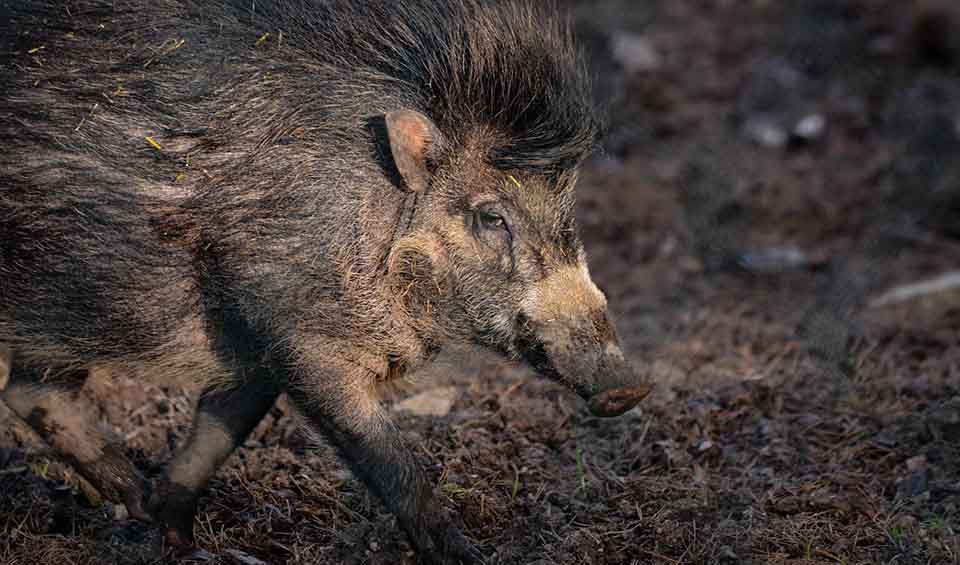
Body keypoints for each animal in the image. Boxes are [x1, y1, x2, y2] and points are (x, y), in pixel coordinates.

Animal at [0, 1, 650, 562]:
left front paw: (174, 533)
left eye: (568, 212)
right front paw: (467, 555)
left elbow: (220, 432)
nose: (631, 387)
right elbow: (393, 463)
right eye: (491, 217)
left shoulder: (254, 344)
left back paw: (130, 497)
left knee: (29, 392)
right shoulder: (300, 331)